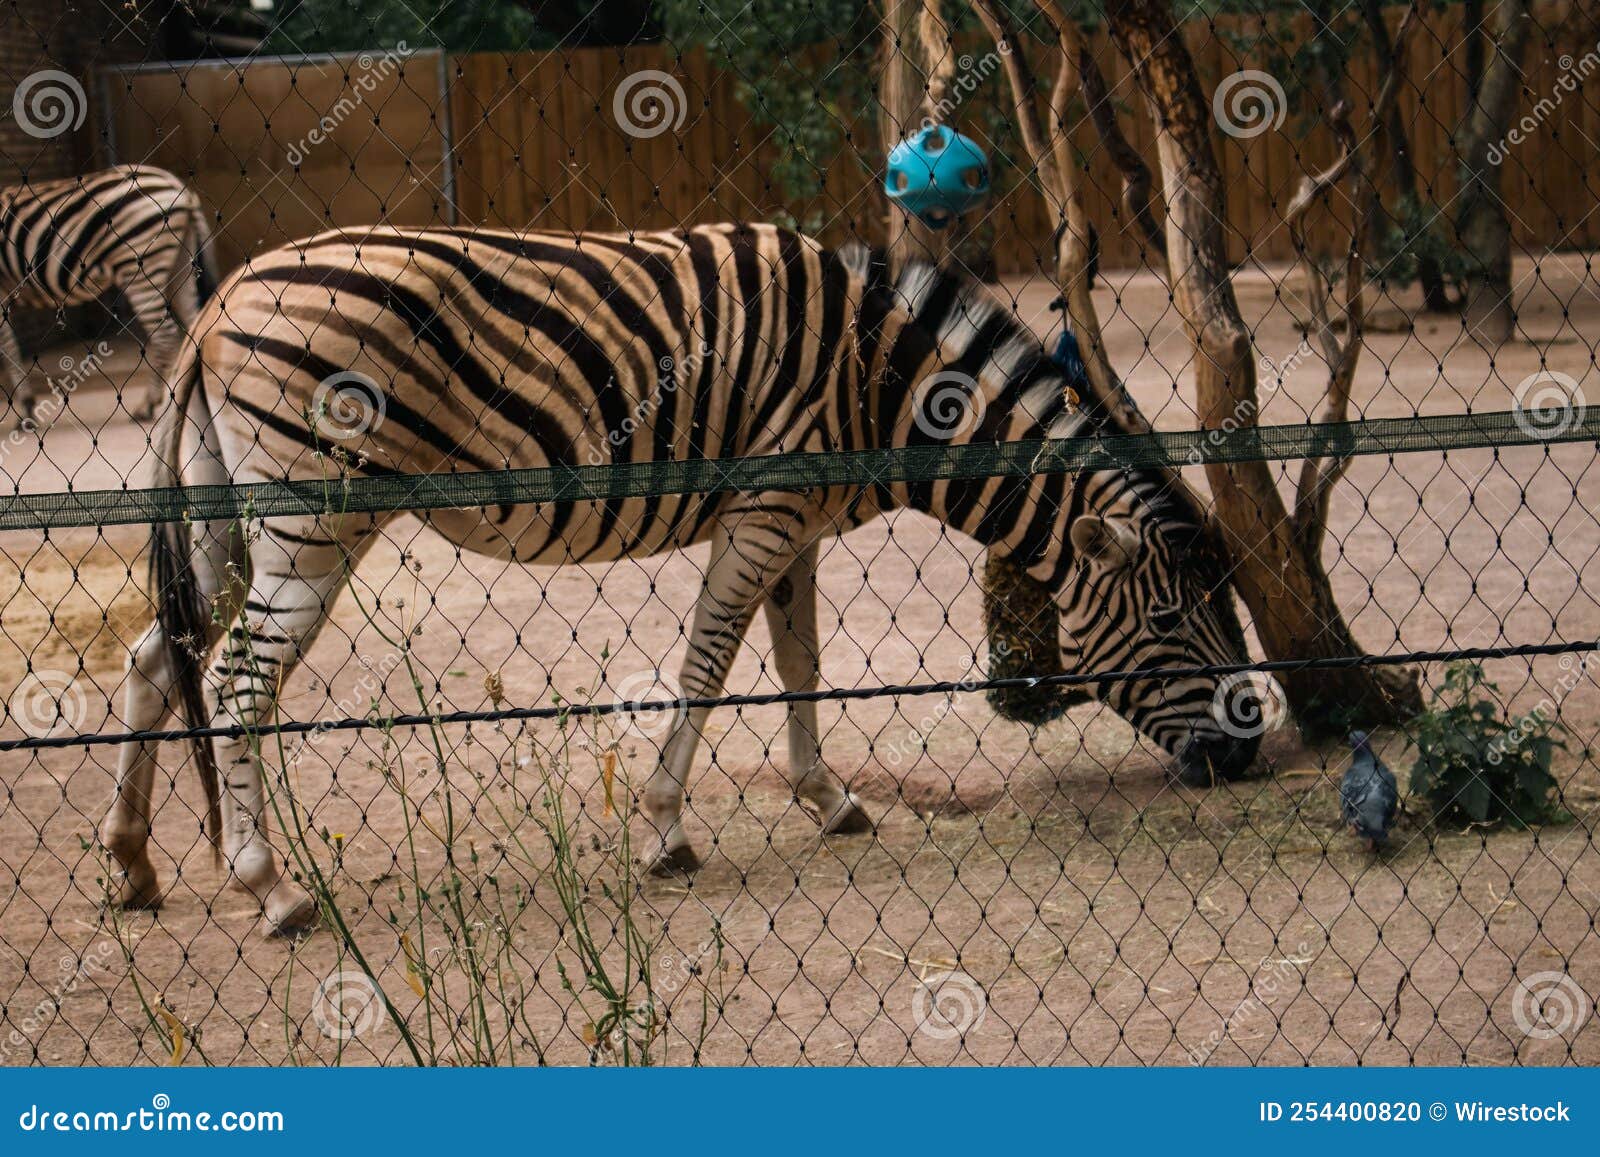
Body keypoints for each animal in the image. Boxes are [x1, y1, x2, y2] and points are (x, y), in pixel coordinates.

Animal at [0, 164, 217, 423]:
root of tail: (178, 187)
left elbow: (7, 346)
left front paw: (26, 405)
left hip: (140, 262)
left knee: (165, 337)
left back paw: (148, 405)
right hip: (180, 262)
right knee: (195, 326)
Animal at [101, 222, 1260, 935]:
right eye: (1172, 617)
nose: (1246, 754)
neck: (879, 386)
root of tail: (220, 301)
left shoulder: (799, 526)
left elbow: (800, 661)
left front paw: (828, 797)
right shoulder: (764, 509)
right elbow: (709, 664)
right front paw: (664, 827)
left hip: (225, 518)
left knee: (159, 656)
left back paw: (132, 862)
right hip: (311, 519)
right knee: (238, 682)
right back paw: (271, 887)